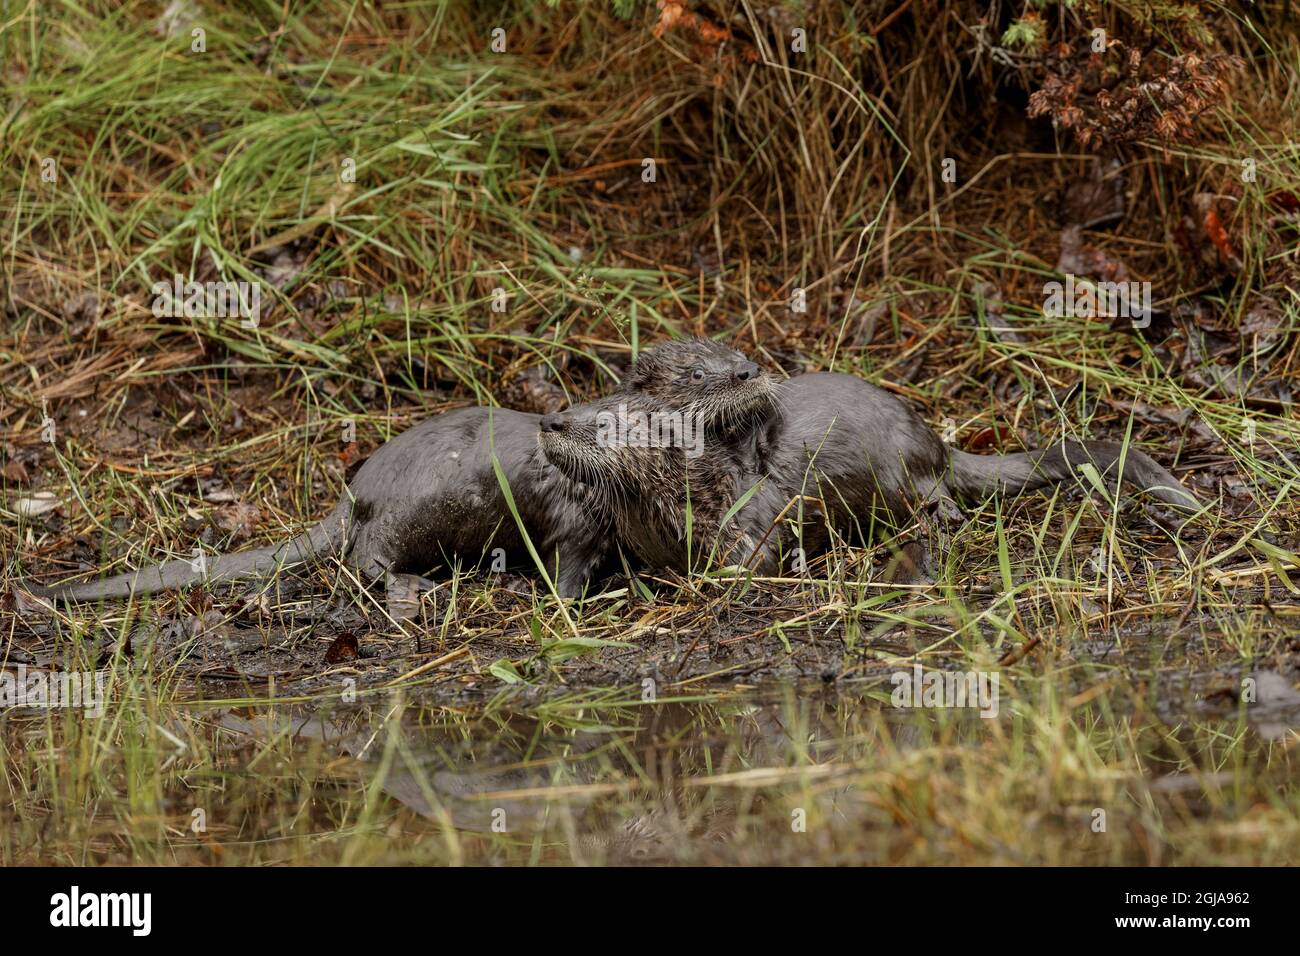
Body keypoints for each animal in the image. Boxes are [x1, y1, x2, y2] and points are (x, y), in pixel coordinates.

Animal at [28, 339, 777, 603]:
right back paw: (415, 587)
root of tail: (355, 490)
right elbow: (566, 567)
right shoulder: (573, 517)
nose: (553, 423)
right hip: (406, 516)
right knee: (365, 560)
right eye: (580, 412)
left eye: (729, 356)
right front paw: (567, 604)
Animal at [539, 371, 1200, 576]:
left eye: (603, 422)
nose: (550, 421)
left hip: (903, 473)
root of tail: (934, 440)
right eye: (579, 402)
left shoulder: (752, 525)